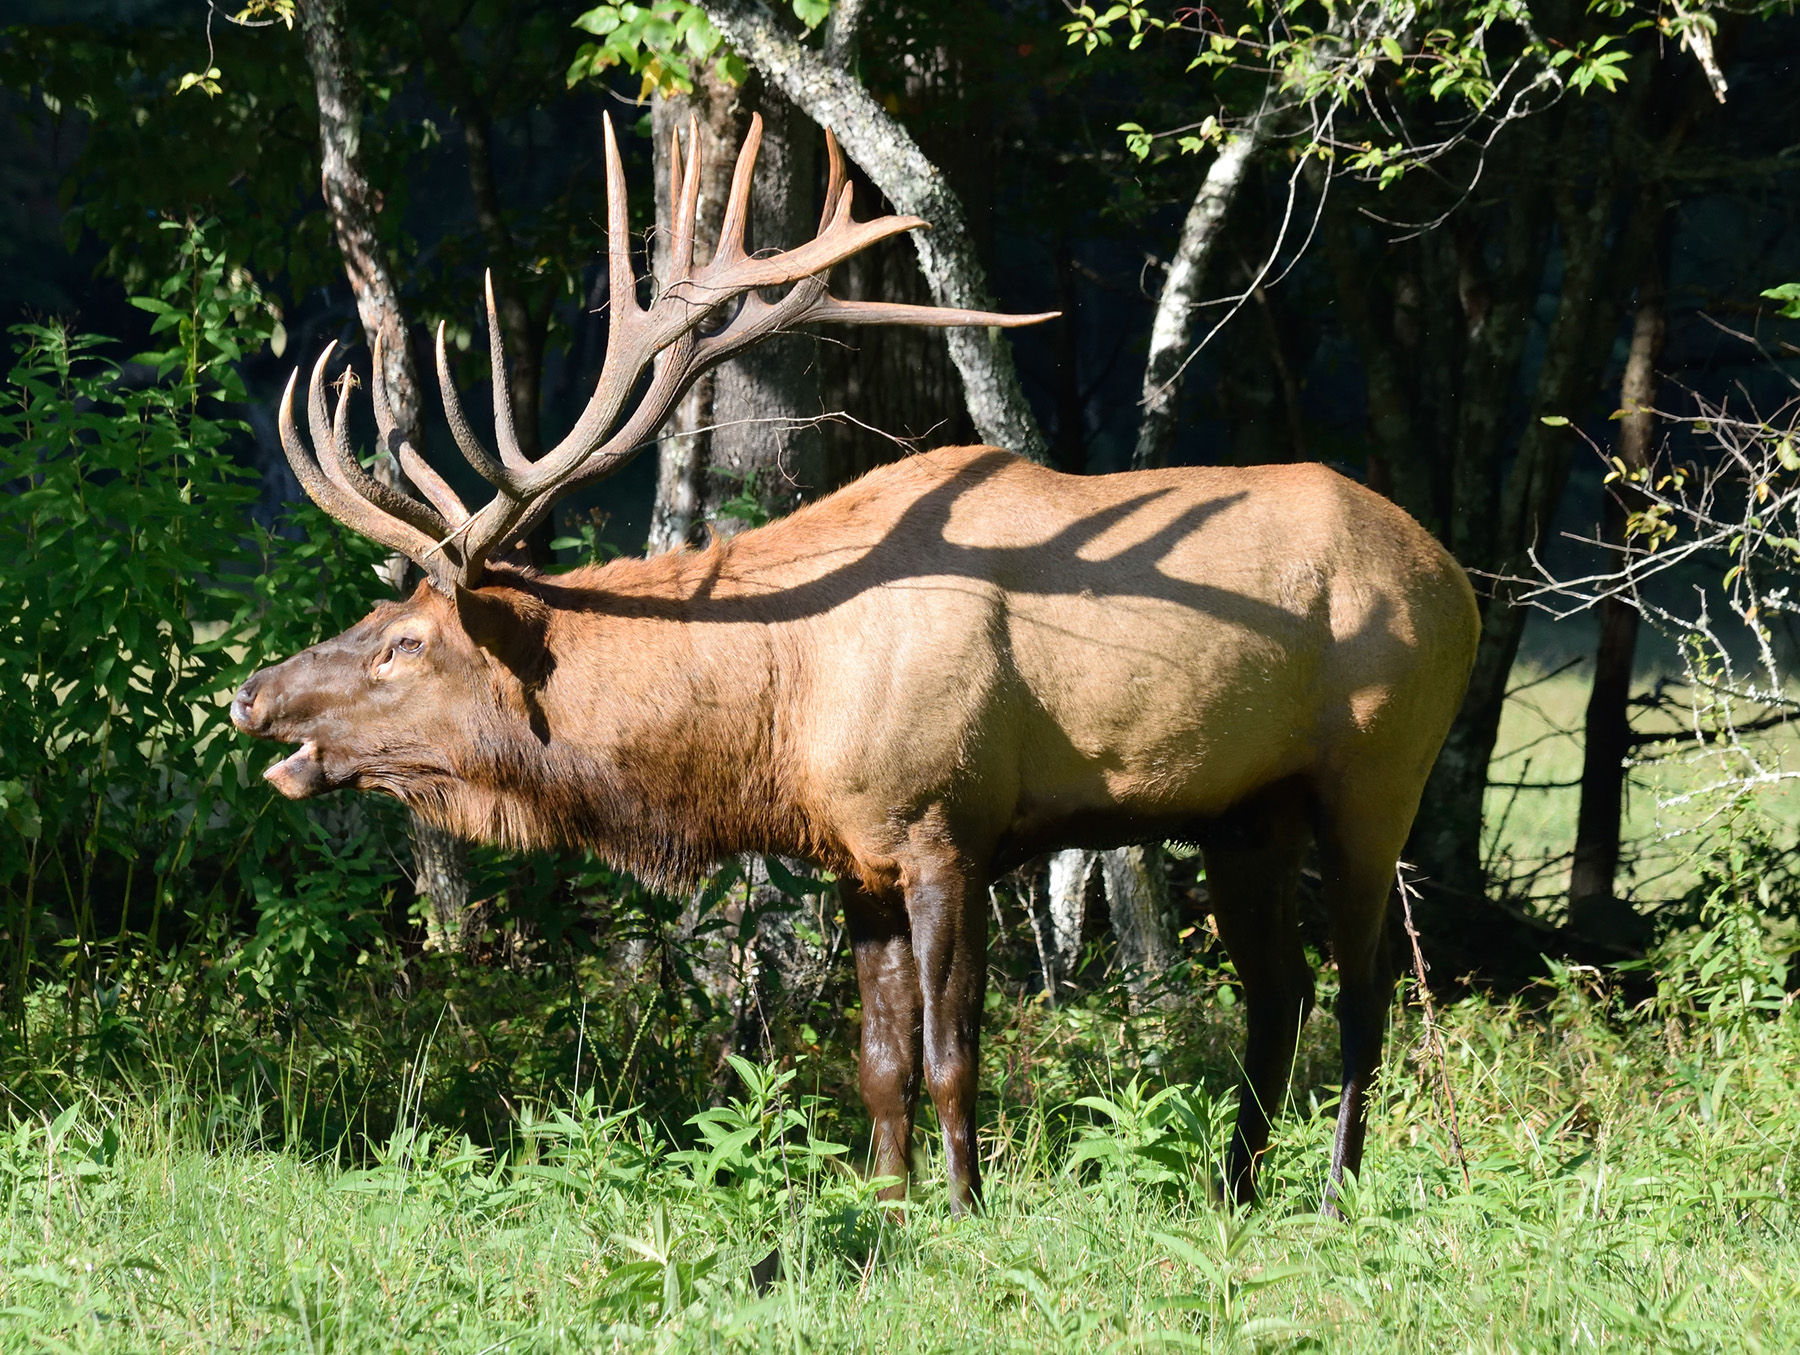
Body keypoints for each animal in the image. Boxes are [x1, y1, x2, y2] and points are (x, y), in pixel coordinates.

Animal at [230, 109, 1480, 1213]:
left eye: (405, 643)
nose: (250, 692)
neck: (779, 708)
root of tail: (1456, 576)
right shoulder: (856, 855)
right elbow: (877, 1064)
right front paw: (887, 1212)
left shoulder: (945, 826)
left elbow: (952, 1050)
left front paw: (965, 1211)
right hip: (1242, 812)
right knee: (1281, 994)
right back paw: (1233, 1191)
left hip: (1378, 772)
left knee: (1366, 991)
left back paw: (1334, 1194)